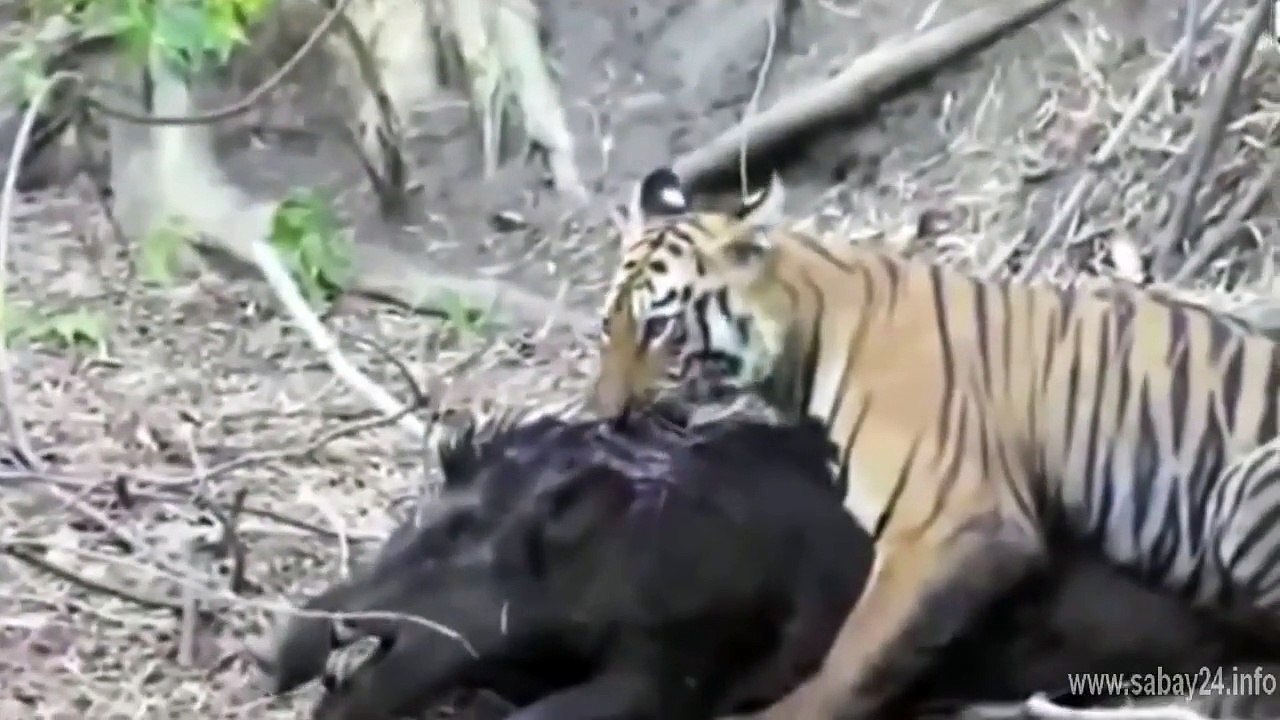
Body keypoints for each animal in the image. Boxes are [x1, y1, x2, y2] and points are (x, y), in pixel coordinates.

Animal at [590, 165, 1280, 720]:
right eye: (607, 326)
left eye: (660, 328)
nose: (607, 418)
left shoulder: (955, 523)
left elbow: (855, 655)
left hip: (1242, 491)